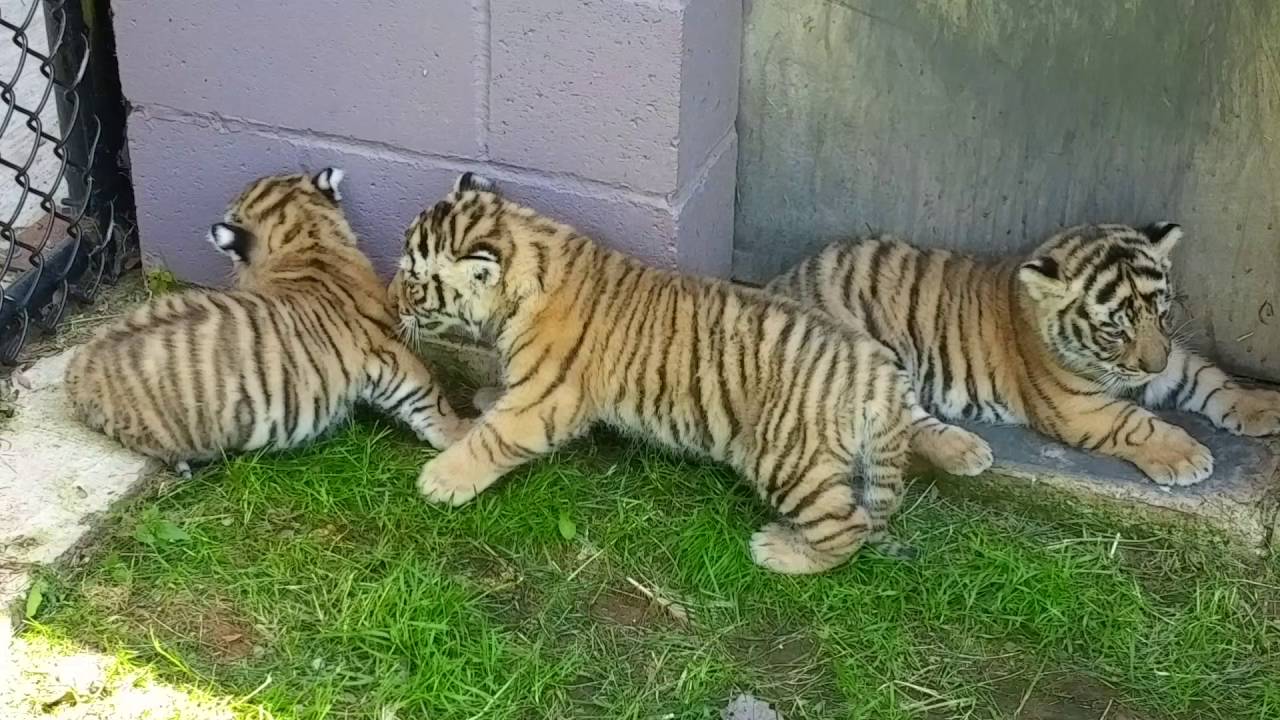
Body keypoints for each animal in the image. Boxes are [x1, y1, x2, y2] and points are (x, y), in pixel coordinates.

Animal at [390, 172, 979, 575]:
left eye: (414, 282)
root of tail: (875, 375)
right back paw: (965, 449)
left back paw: (780, 551)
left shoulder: (545, 400)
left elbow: (492, 439)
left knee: (847, 527)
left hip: (789, 459)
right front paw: (488, 396)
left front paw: (441, 479)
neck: (531, 250)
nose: (391, 299)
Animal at [766, 223, 1280, 487]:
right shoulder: (1078, 405)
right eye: (1114, 329)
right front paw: (1186, 455)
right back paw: (966, 451)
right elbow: (1137, 423)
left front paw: (1263, 406)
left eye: (1163, 313)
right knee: (899, 418)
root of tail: (781, 282)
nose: (1149, 365)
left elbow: (1211, 379)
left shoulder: (1166, 359)